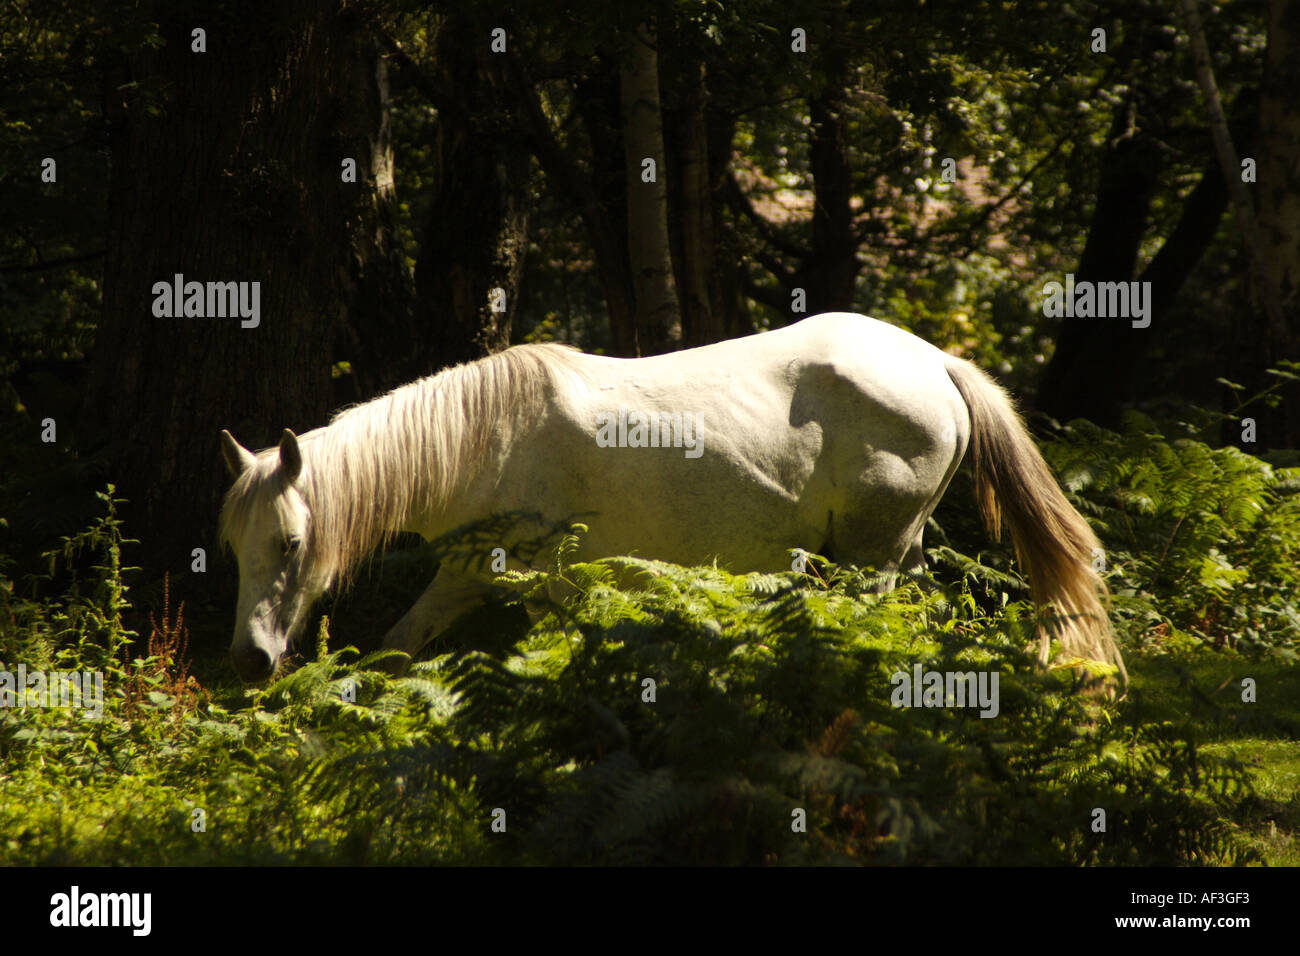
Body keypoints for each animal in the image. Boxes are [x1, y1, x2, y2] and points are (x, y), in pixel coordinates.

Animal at [218, 311, 1127, 690]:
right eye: (232, 547)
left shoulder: (516, 579)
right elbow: (400, 652)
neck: (486, 440)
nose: (248, 660)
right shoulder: (490, 580)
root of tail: (935, 361)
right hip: (892, 552)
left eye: (291, 544)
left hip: (875, 556)